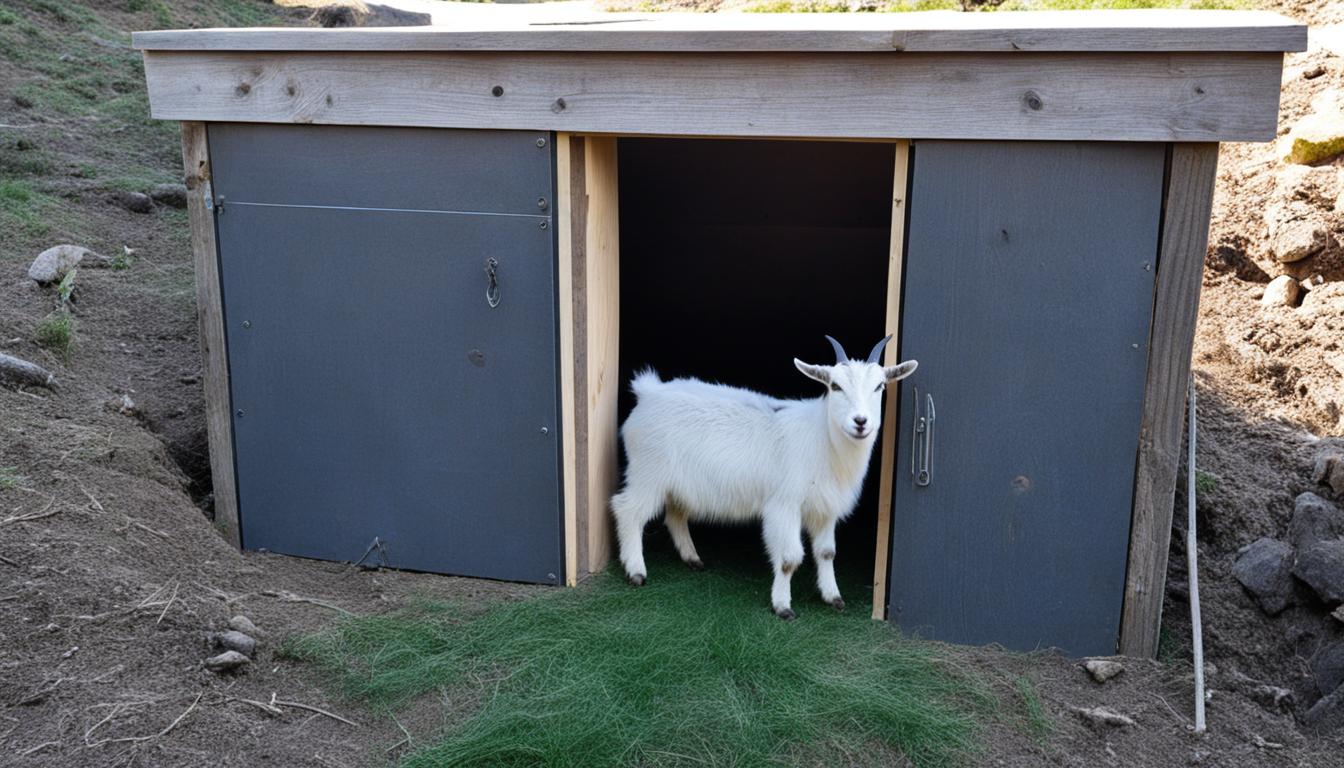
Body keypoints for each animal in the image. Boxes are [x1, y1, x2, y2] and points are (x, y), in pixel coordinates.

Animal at [610, 335, 917, 619]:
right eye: (835, 386)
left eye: (880, 386)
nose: (860, 422)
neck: (822, 438)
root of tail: (649, 392)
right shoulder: (785, 505)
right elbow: (790, 558)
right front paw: (782, 606)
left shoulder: (825, 508)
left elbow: (827, 552)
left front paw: (833, 597)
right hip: (648, 472)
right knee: (627, 509)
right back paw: (636, 570)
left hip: (679, 482)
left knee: (675, 514)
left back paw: (692, 558)